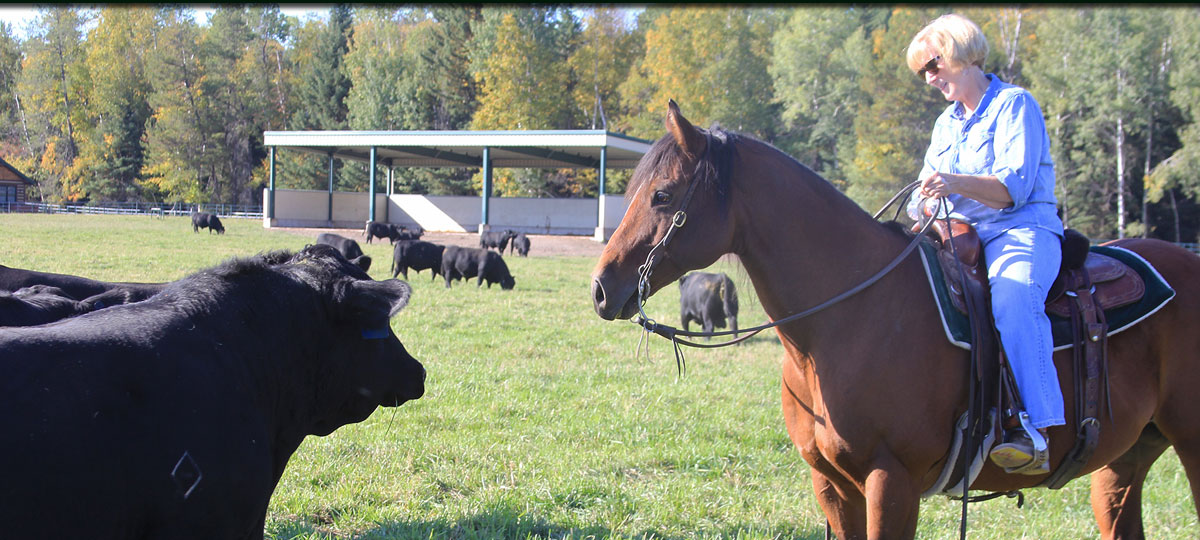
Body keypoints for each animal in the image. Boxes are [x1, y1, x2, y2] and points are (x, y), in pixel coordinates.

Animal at [590, 101, 1200, 540]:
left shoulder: (893, 481)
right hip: (1124, 461)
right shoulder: (833, 484)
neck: (845, 322)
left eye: (662, 194)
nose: (600, 288)